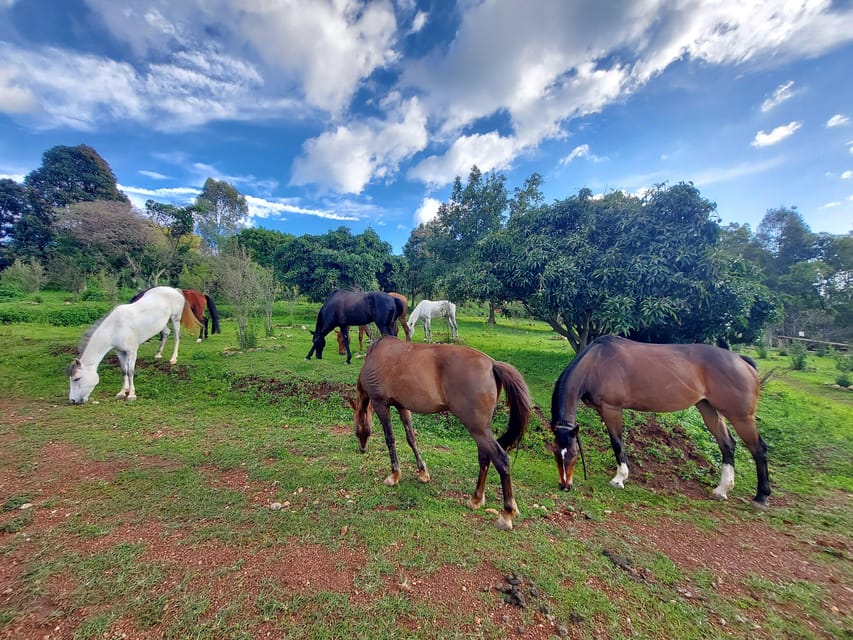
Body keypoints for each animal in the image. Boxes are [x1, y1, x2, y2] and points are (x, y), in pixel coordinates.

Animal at [68, 286, 201, 403]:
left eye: (77, 378)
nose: (72, 400)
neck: (116, 327)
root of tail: (174, 289)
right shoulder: (120, 352)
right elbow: (124, 371)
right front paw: (122, 392)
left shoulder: (132, 351)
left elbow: (131, 371)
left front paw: (131, 395)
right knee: (166, 333)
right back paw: (158, 355)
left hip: (175, 318)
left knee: (177, 337)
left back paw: (173, 359)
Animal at [349, 336, 532, 530]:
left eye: (356, 430)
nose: (362, 448)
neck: (376, 354)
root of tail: (492, 364)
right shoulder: (402, 407)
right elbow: (411, 438)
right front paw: (422, 473)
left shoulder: (381, 404)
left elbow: (390, 439)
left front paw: (394, 475)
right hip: (481, 430)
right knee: (484, 458)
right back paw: (476, 499)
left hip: (477, 428)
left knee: (501, 460)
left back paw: (507, 513)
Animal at [549, 335, 771, 509]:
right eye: (555, 453)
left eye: (573, 454)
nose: (565, 486)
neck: (596, 362)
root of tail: (741, 360)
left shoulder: (611, 409)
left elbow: (617, 443)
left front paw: (619, 478)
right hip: (708, 409)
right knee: (727, 445)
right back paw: (722, 489)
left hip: (741, 417)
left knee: (758, 449)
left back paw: (761, 496)